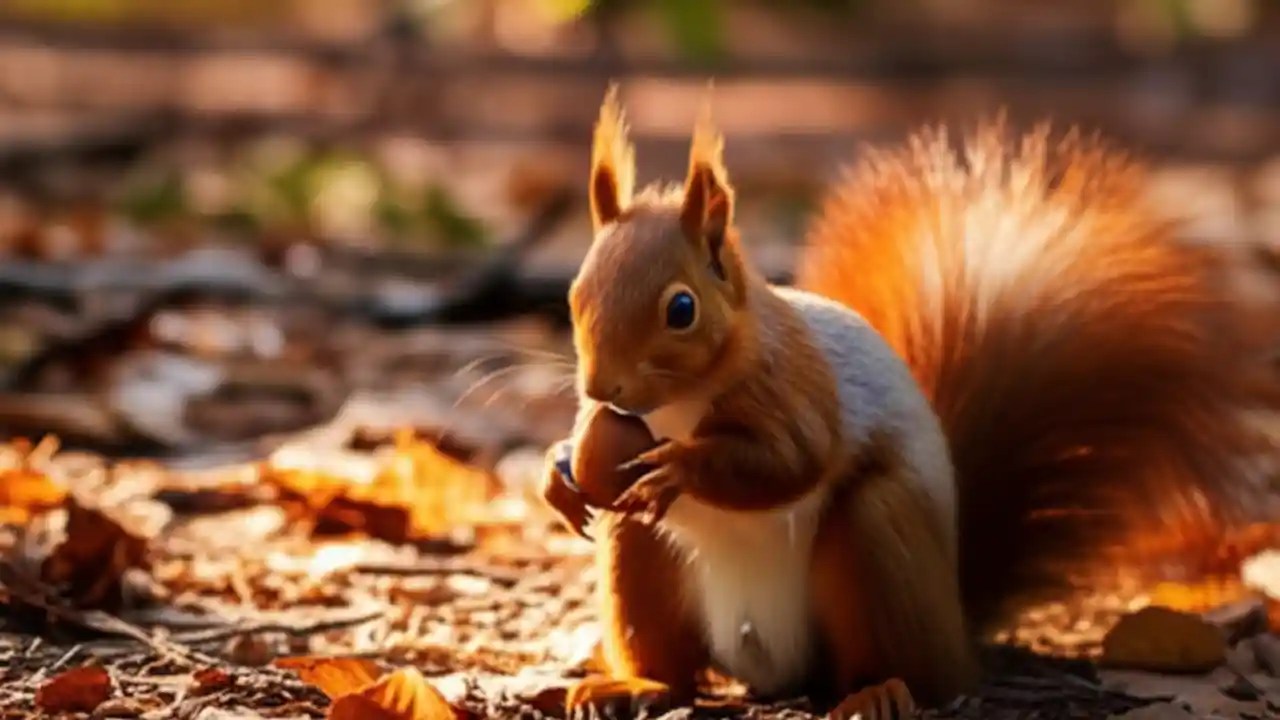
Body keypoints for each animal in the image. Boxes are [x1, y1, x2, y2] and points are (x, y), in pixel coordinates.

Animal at [540, 87, 1267, 720]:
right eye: (575, 293)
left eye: (682, 309)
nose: (601, 388)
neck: (676, 408)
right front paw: (558, 473)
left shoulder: (793, 385)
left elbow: (790, 460)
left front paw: (677, 468)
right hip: (640, 555)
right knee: (666, 645)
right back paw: (632, 685)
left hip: (879, 545)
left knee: (914, 668)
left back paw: (878, 693)